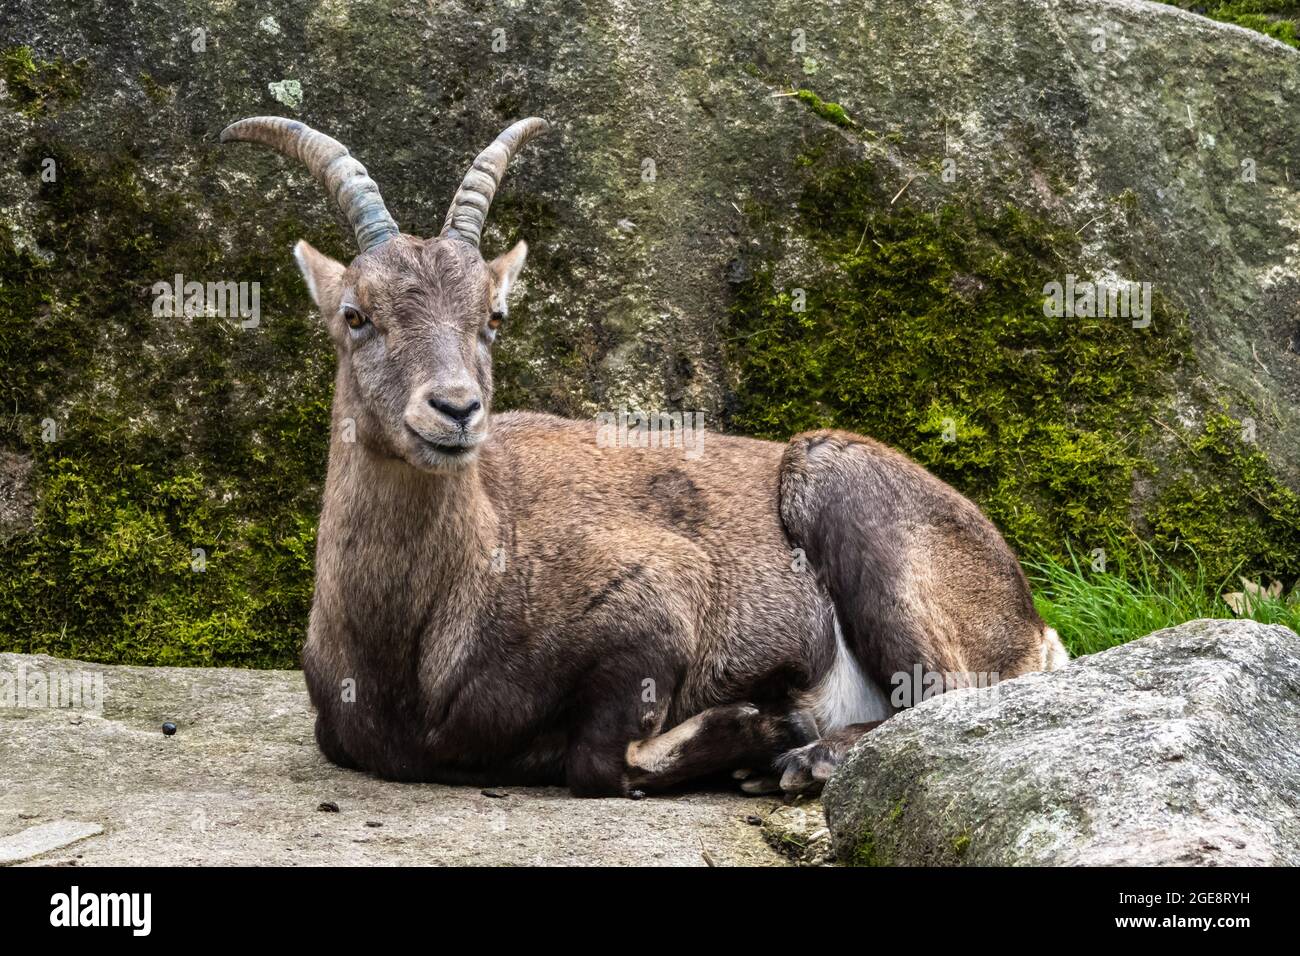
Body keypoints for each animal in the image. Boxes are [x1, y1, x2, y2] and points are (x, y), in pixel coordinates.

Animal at [220, 116, 1069, 797]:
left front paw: (765, 727)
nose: (455, 408)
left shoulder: (655, 598)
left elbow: (602, 760)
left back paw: (807, 759)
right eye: (355, 315)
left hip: (848, 496)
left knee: (942, 696)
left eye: (492, 316)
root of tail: (1032, 627)